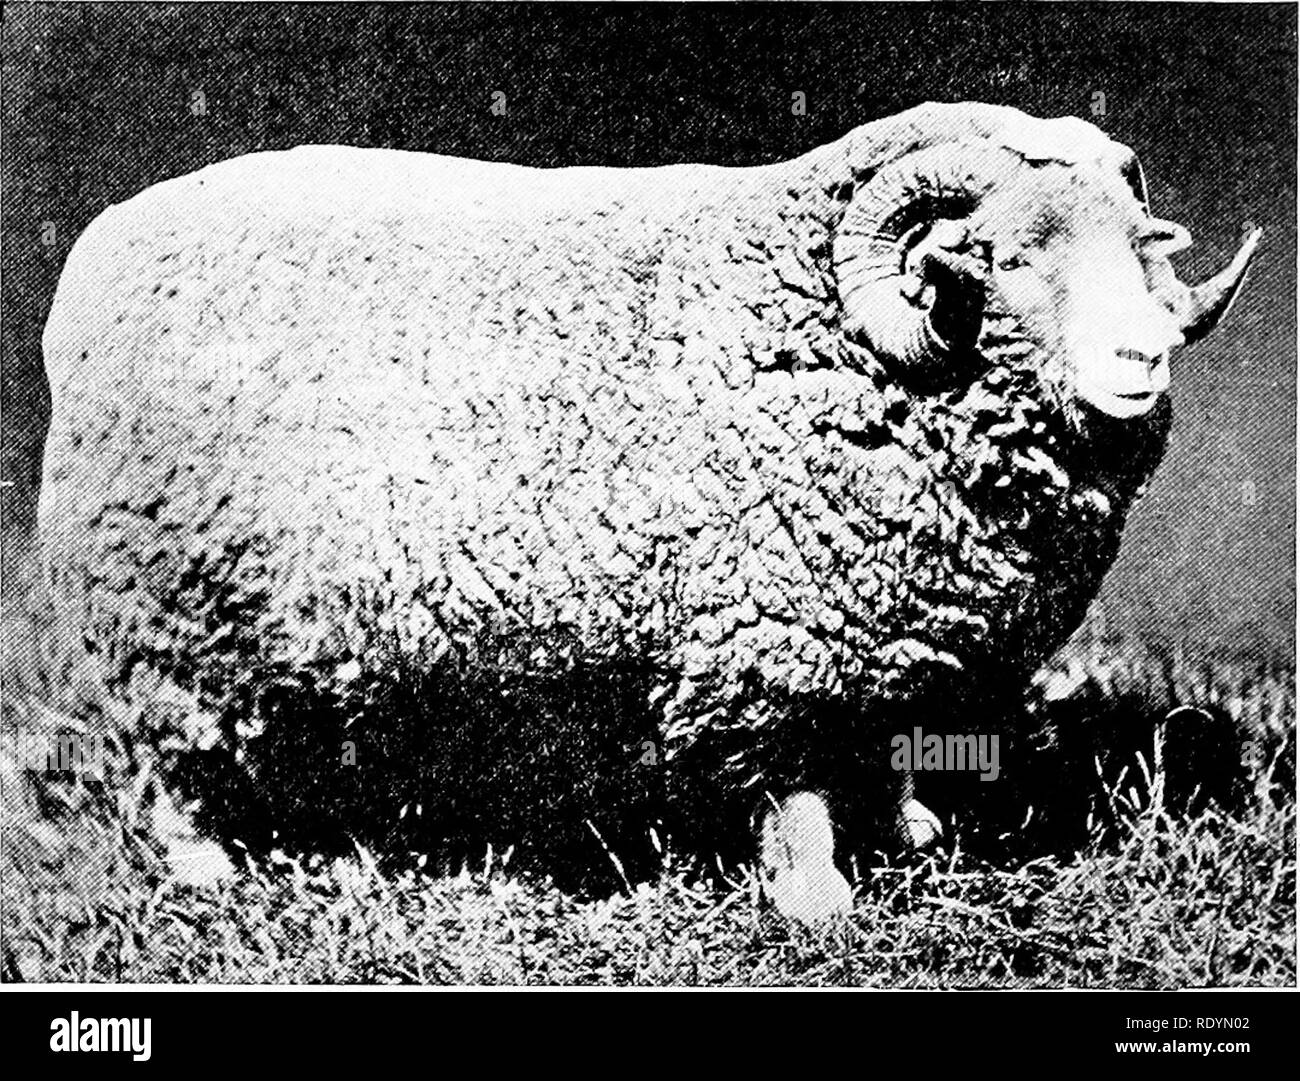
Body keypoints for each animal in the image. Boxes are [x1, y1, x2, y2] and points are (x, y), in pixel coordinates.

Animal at [38, 101, 1258, 922]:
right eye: (1002, 256)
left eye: (1138, 247)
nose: (1138, 363)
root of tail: (95, 253)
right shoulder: (771, 643)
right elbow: (795, 786)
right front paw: (817, 899)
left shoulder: (882, 632)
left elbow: (881, 749)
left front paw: (908, 835)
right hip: (156, 614)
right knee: (171, 765)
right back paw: (207, 869)